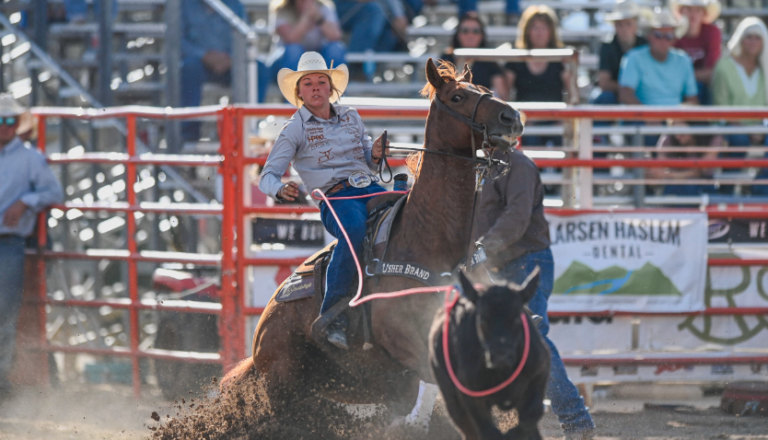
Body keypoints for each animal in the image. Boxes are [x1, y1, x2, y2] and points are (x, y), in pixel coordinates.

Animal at [221, 58, 524, 431]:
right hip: (284, 385)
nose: (511, 117)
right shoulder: (406, 340)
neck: (432, 240)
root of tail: (262, 326)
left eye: (485, 90)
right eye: (456, 97)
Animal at [429, 267, 550, 440]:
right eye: (482, 319)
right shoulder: (472, 396)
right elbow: (486, 429)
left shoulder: (539, 374)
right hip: (452, 398)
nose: (501, 357)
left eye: (516, 318)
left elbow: (531, 415)